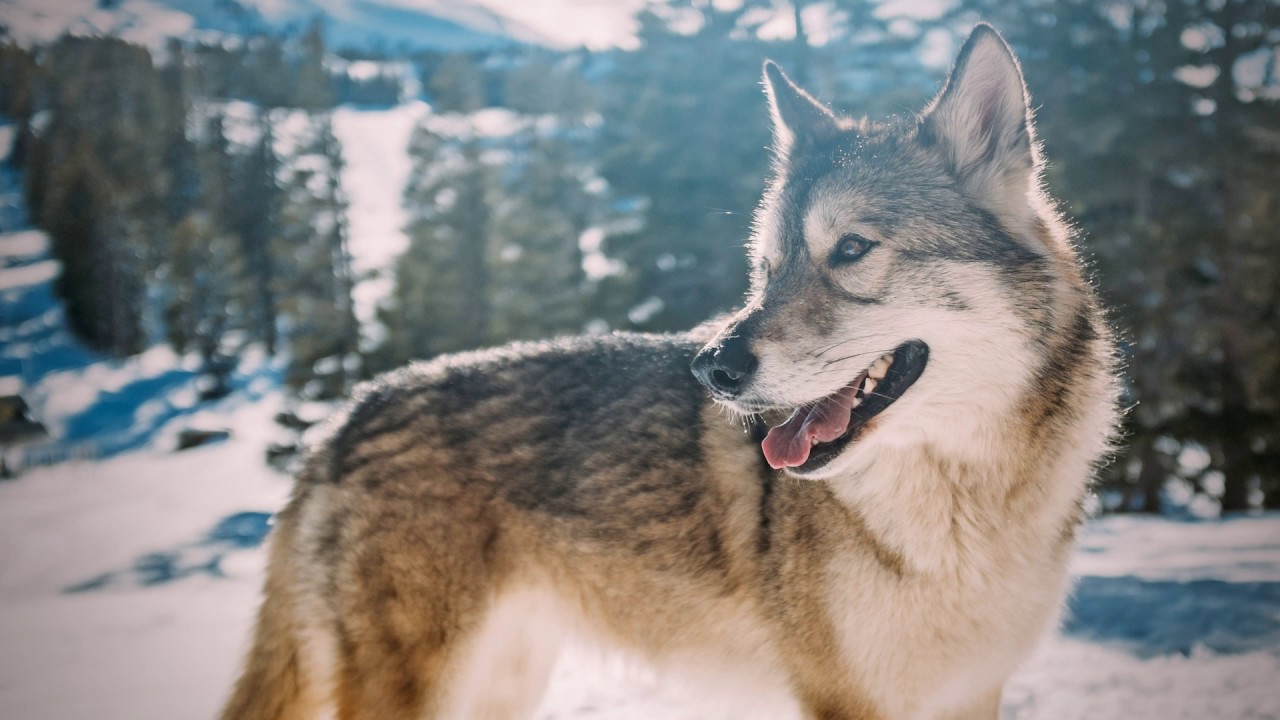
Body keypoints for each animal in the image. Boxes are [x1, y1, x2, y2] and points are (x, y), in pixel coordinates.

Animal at [221, 24, 1119, 720]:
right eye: (767, 269)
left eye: (853, 249)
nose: (713, 366)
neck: (966, 507)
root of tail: (347, 418)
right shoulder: (846, 698)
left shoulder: (972, 691)